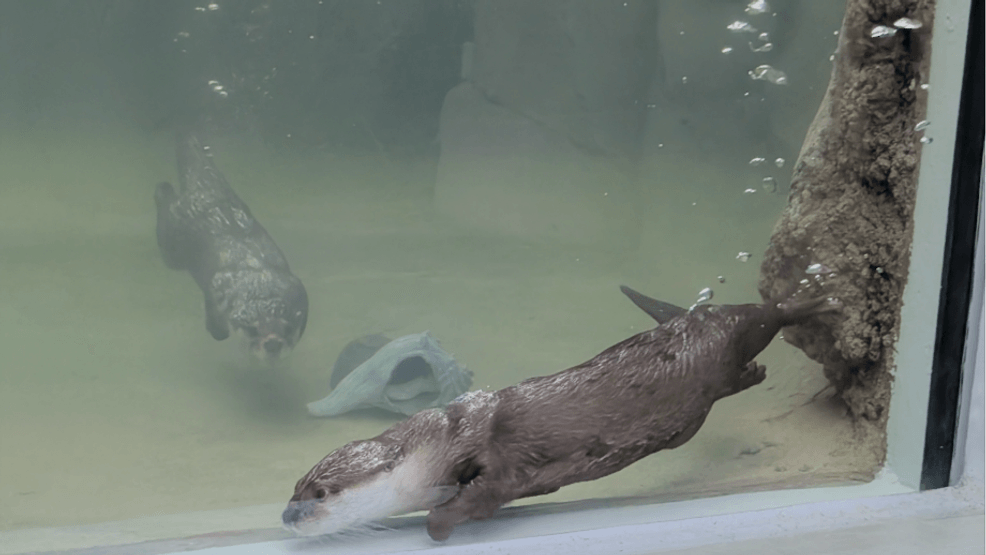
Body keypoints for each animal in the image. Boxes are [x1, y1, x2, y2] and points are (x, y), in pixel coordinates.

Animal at [154, 132, 308, 360]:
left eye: (287, 329)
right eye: (252, 330)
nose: (272, 344)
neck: (259, 278)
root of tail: (205, 191)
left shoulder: (297, 287)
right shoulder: (217, 284)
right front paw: (218, 333)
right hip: (173, 242)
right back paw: (162, 189)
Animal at [282, 285, 838, 540]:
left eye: (321, 493)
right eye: (294, 489)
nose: (287, 516)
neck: (441, 441)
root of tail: (690, 319)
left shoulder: (495, 456)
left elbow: (486, 493)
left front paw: (439, 524)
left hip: (730, 331)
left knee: (764, 313)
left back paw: (816, 302)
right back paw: (756, 372)